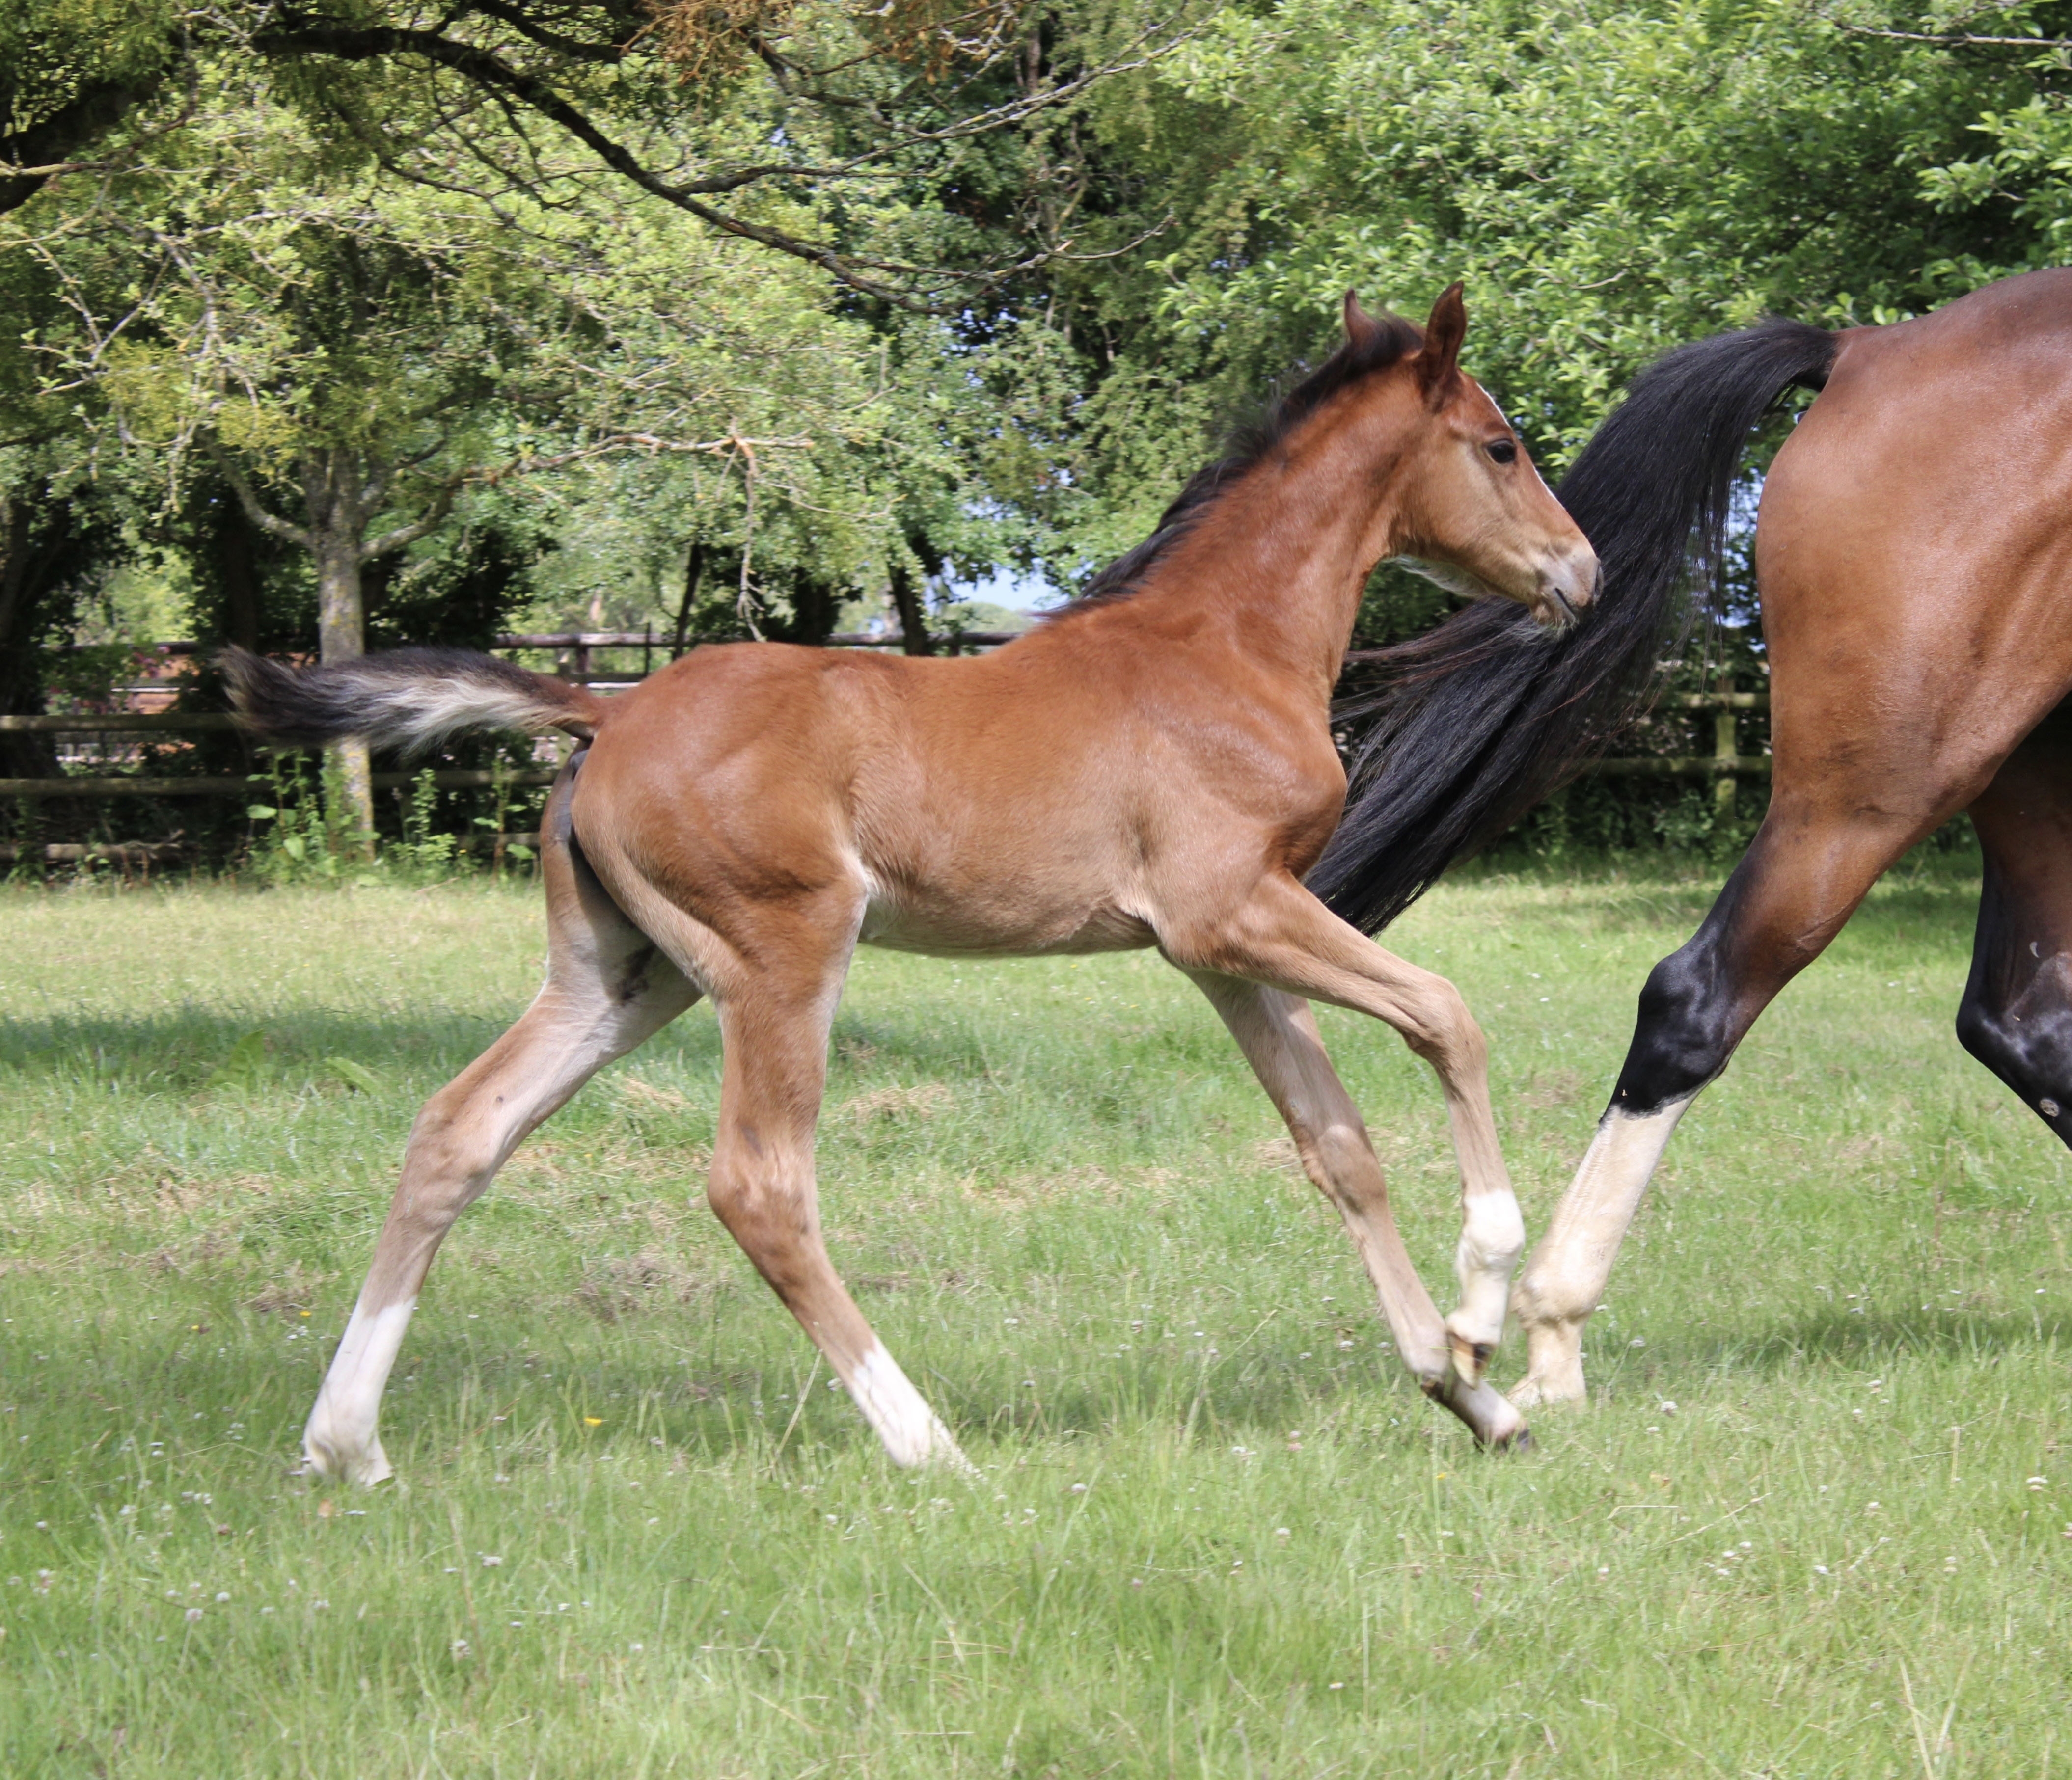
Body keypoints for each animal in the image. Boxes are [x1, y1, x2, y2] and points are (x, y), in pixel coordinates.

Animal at [225, 286, 1599, 1483]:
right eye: (1500, 444)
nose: (1579, 572)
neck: (1222, 649)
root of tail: (604, 710)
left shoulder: (1221, 953)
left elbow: (1337, 1149)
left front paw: (1468, 1394)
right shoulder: (1230, 911)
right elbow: (1443, 1015)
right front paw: (1485, 1305)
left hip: (623, 976)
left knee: (459, 1129)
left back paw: (345, 1446)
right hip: (783, 955)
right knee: (759, 1189)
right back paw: (928, 1443)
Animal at [1310, 266, 2072, 1409]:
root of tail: (1865, 351)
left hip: (2022, 763)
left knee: (2020, 1020)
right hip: (1884, 784)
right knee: (1697, 995)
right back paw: (1551, 1333)